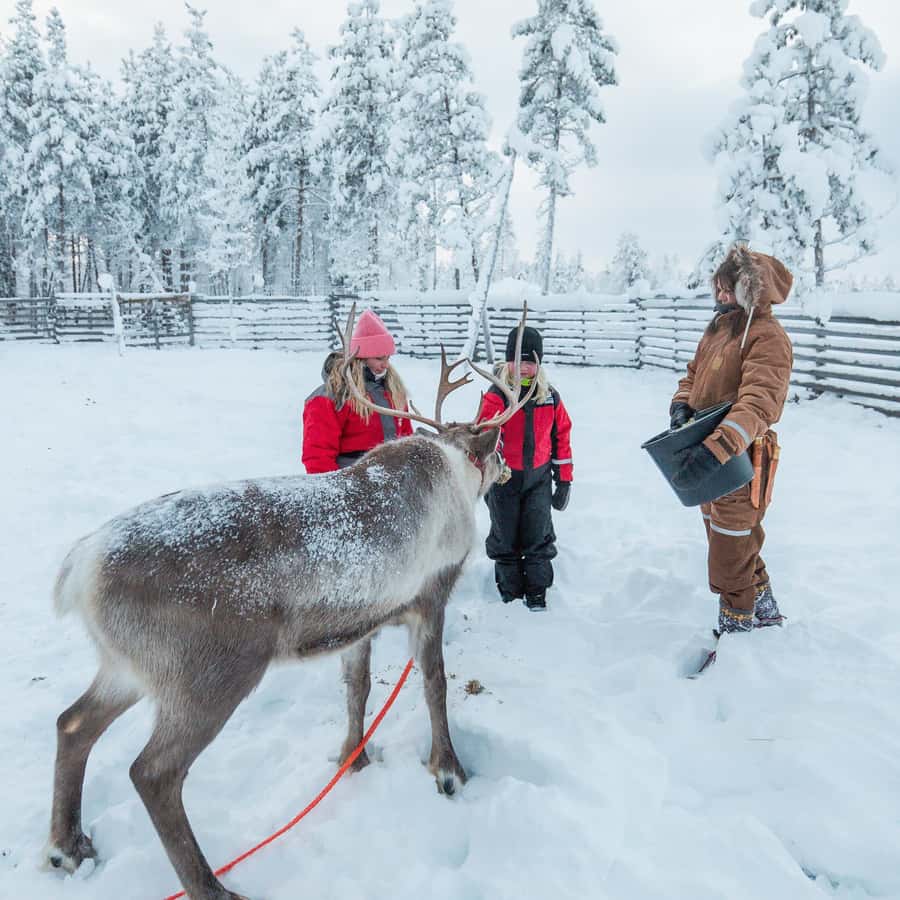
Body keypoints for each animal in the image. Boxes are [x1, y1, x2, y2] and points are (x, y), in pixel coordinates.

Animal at [44, 305, 540, 900]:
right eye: (495, 448)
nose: (507, 469)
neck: (456, 476)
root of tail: (81, 569)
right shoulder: (430, 596)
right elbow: (435, 684)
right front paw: (449, 771)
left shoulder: (362, 622)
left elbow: (356, 687)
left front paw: (353, 759)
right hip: (211, 670)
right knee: (153, 772)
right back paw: (213, 888)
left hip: (129, 665)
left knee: (72, 723)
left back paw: (68, 847)